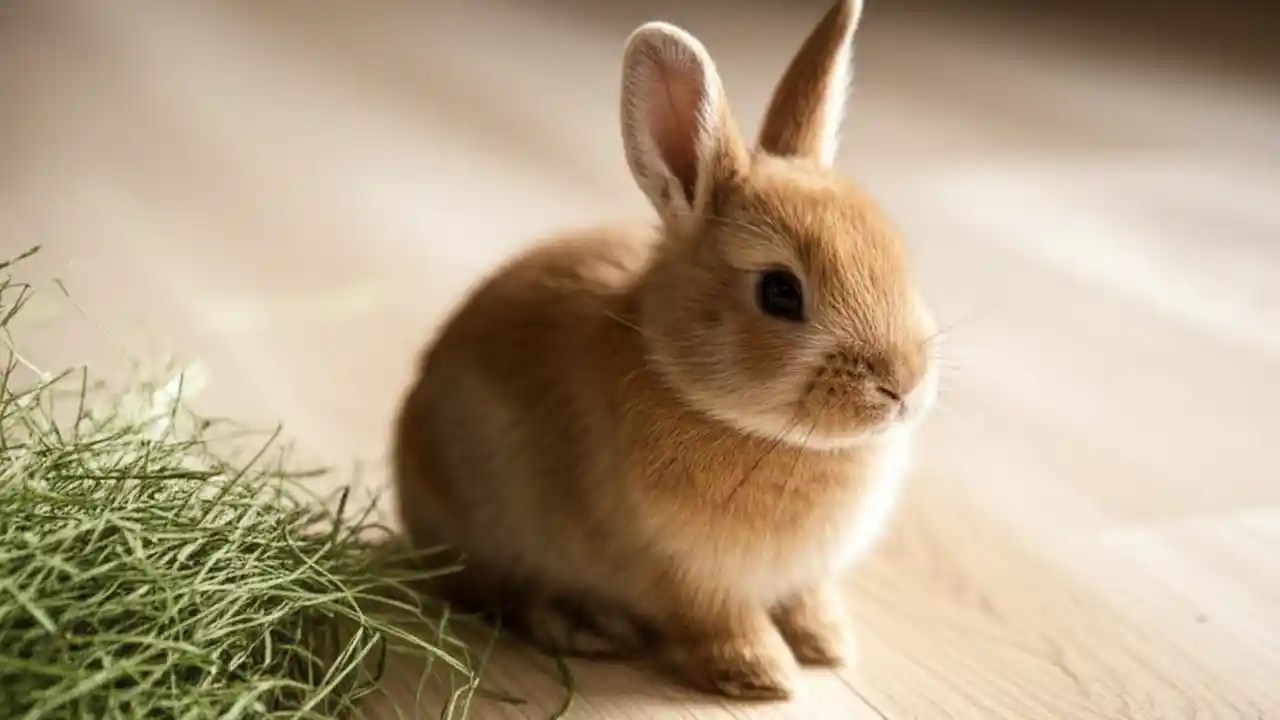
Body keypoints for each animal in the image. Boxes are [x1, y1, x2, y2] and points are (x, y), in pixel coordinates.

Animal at [393, 0, 939, 700]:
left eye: (895, 253)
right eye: (780, 292)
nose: (904, 387)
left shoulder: (804, 576)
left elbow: (807, 600)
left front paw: (829, 642)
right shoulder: (689, 578)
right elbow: (724, 623)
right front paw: (766, 676)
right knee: (496, 593)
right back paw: (587, 626)